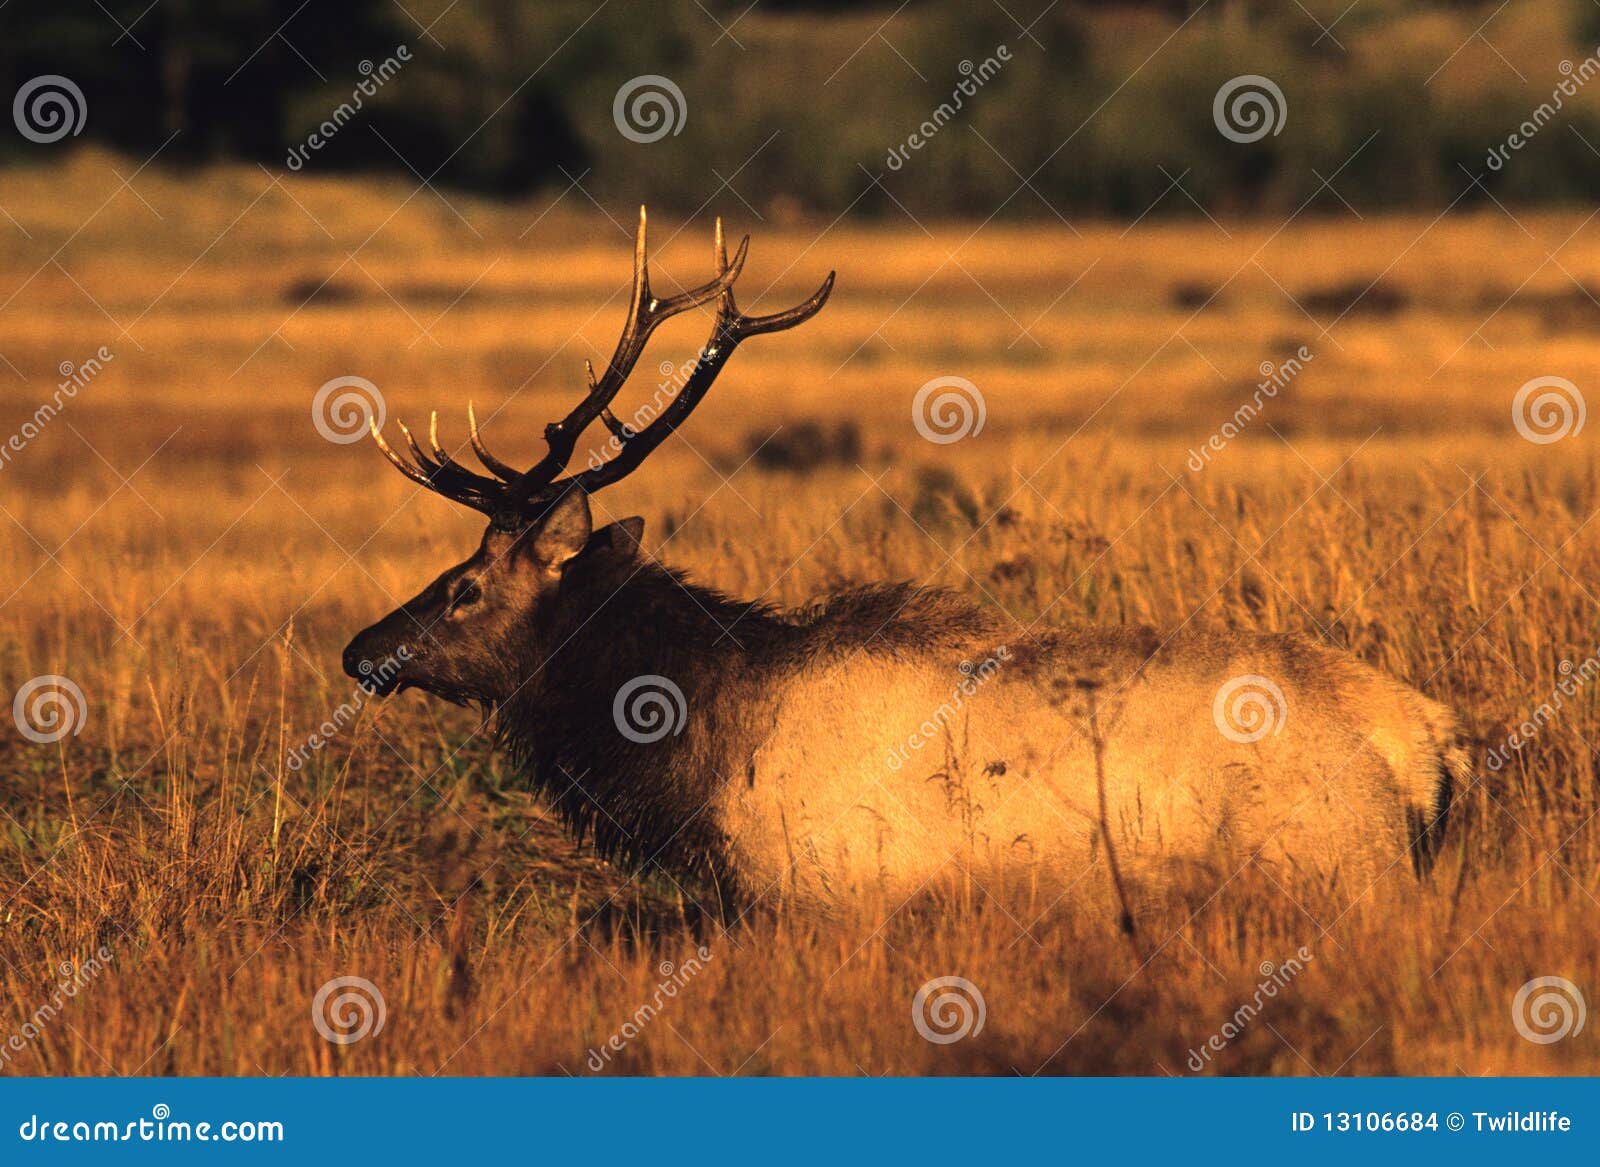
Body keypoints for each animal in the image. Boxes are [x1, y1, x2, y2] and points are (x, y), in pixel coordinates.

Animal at [342, 208, 1469, 919]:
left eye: (465, 585)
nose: (360, 650)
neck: (697, 742)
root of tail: (1431, 745)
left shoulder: (839, 898)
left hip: (1336, 868)